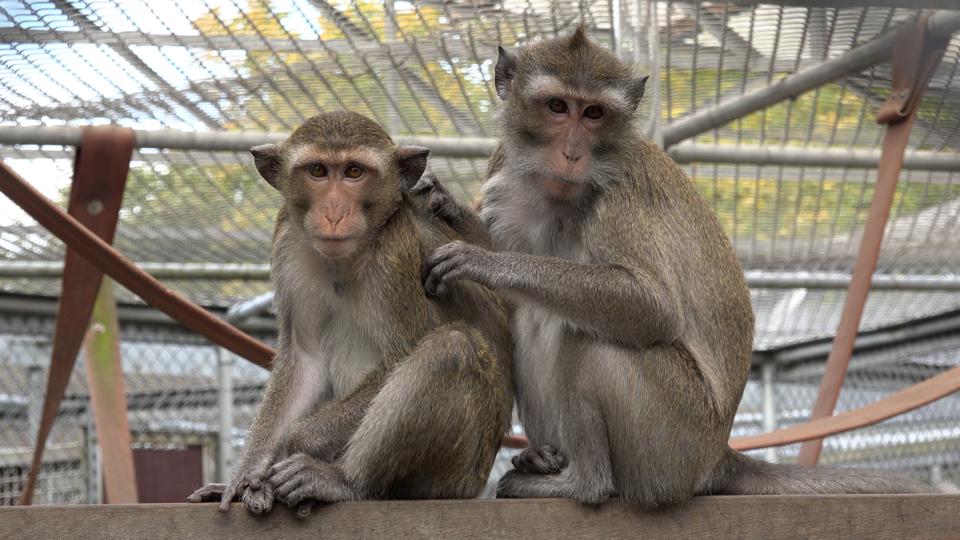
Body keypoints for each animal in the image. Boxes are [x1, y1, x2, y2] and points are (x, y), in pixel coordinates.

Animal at [187, 111, 513, 514]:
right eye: (318, 171)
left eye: (354, 172)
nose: (334, 213)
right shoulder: (288, 243)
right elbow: (304, 359)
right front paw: (246, 475)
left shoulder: (395, 254)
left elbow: (397, 359)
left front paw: (294, 443)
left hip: (459, 474)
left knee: (452, 348)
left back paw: (345, 481)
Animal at [421, 26, 934, 507]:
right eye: (557, 106)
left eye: (594, 114)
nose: (572, 153)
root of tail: (715, 457)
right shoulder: (502, 163)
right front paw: (452, 211)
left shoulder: (621, 193)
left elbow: (652, 306)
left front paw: (486, 261)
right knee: (533, 315)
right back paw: (544, 460)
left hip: (673, 441)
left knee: (588, 335)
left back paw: (583, 483)